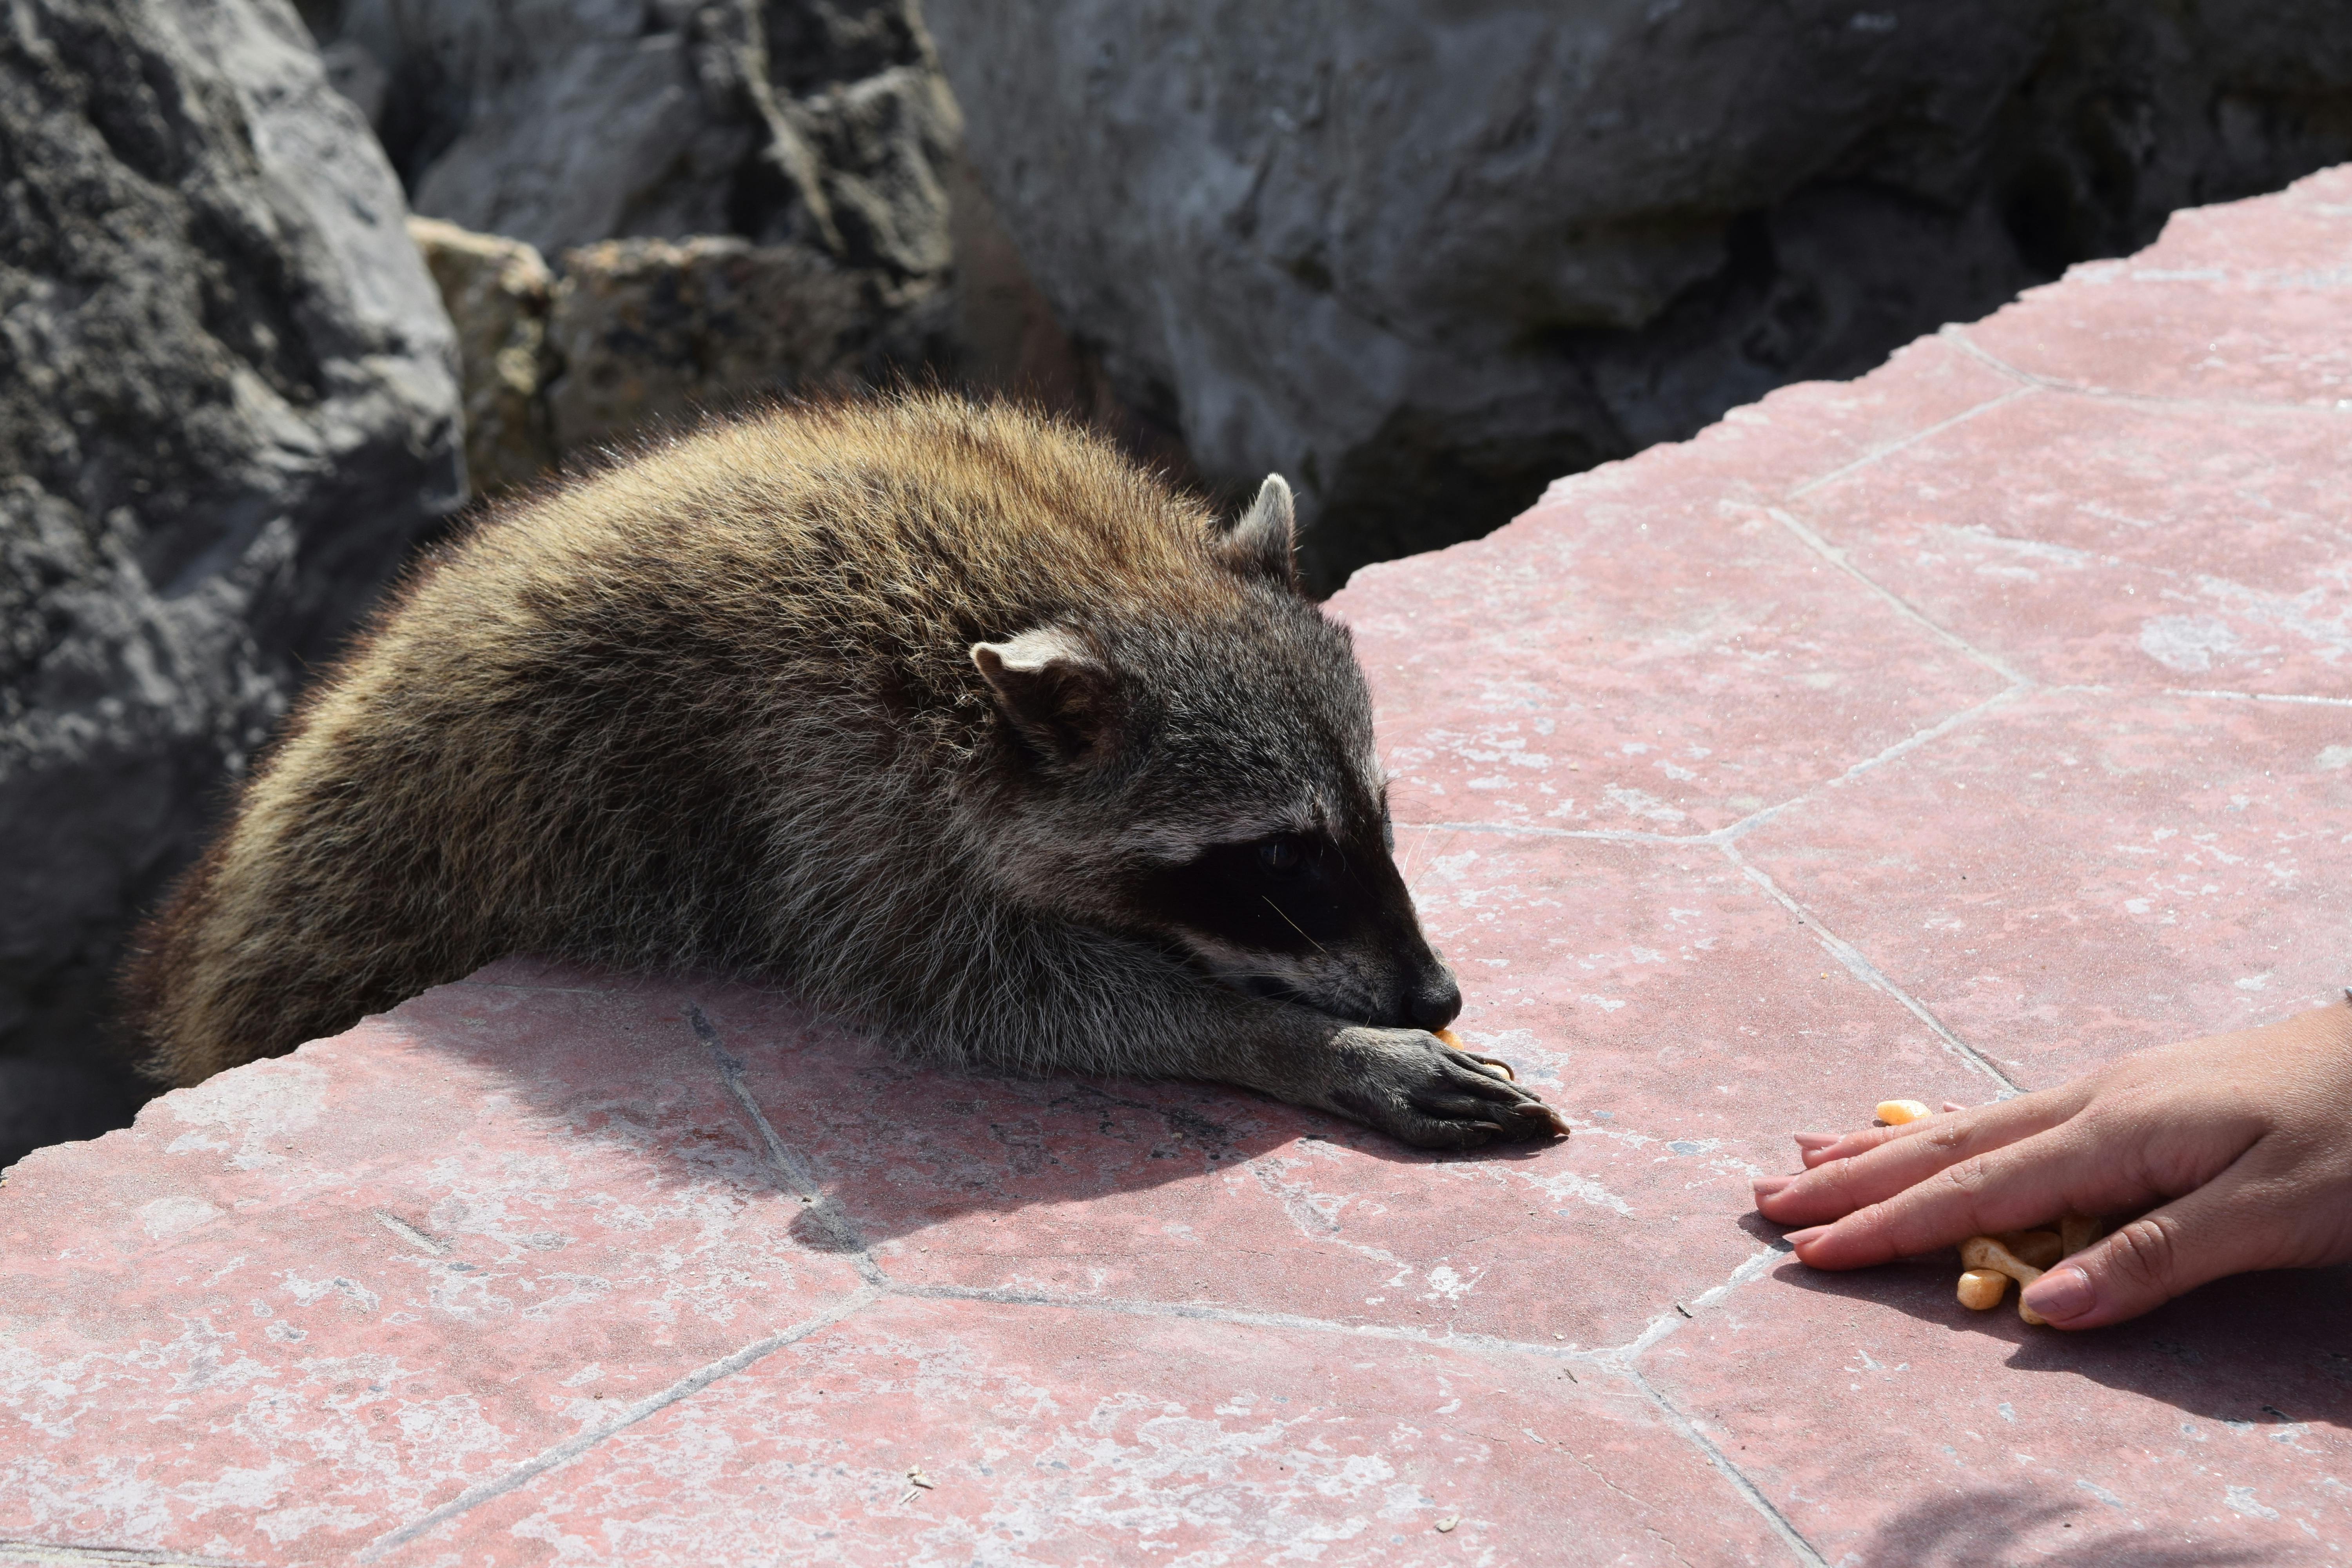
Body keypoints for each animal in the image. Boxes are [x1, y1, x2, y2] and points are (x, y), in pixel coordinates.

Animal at [125, 395, 1566, 1148]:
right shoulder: (828, 778)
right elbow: (985, 990)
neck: (1088, 566)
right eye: (1278, 857)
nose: (1434, 992)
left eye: (1375, 816)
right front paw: (1302, 1042)